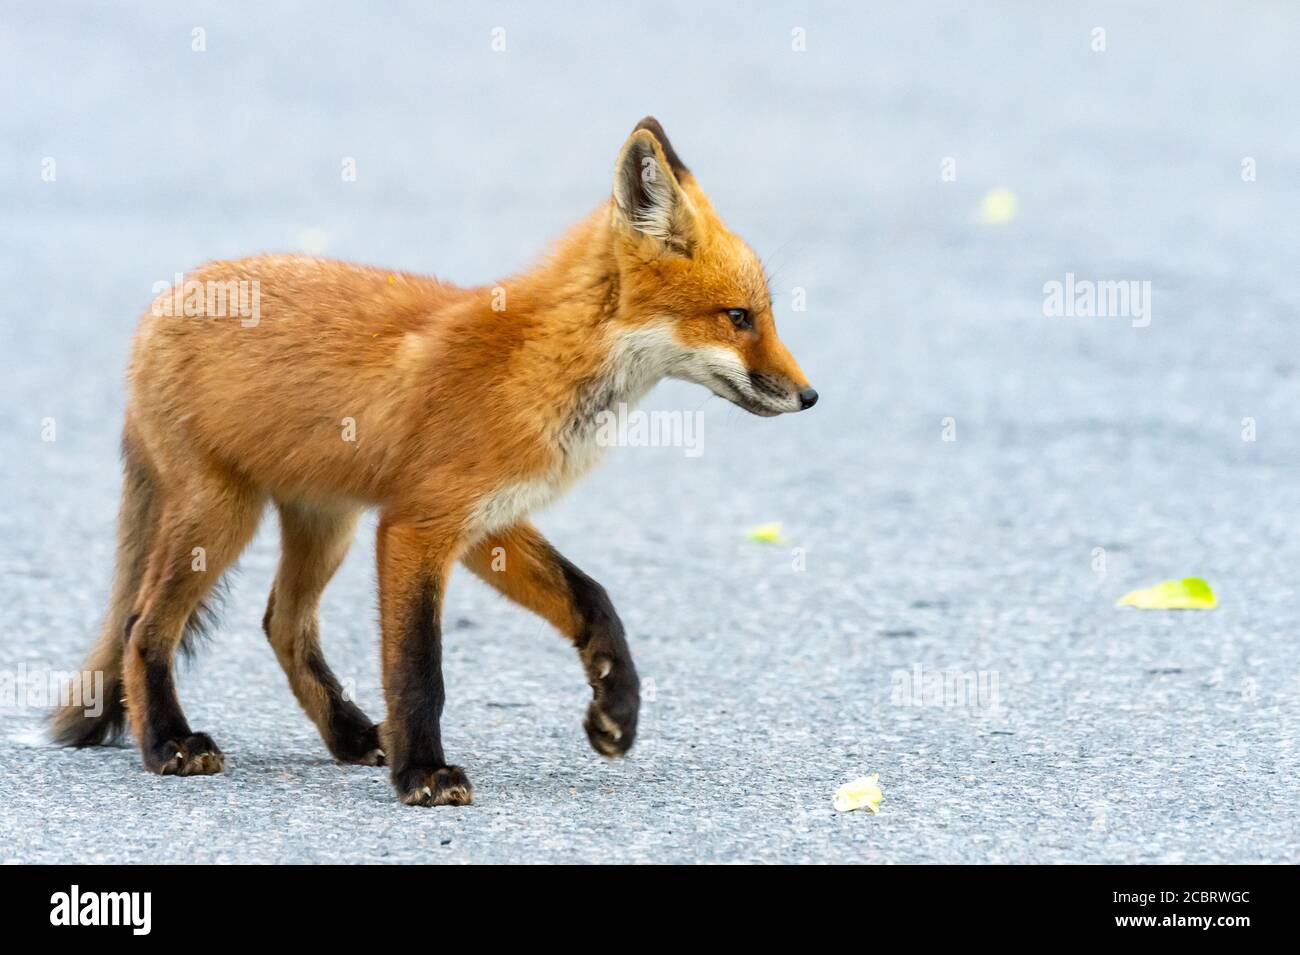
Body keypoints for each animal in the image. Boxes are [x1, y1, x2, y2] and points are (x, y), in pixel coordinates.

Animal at [51, 117, 817, 807]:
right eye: (740, 317)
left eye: (764, 316)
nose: (810, 396)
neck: (539, 365)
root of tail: (164, 302)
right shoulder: (418, 525)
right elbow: (420, 668)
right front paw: (424, 772)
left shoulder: (488, 524)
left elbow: (593, 598)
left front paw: (616, 708)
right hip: (221, 515)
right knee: (142, 625)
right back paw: (168, 742)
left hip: (326, 524)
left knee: (281, 624)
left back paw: (352, 734)